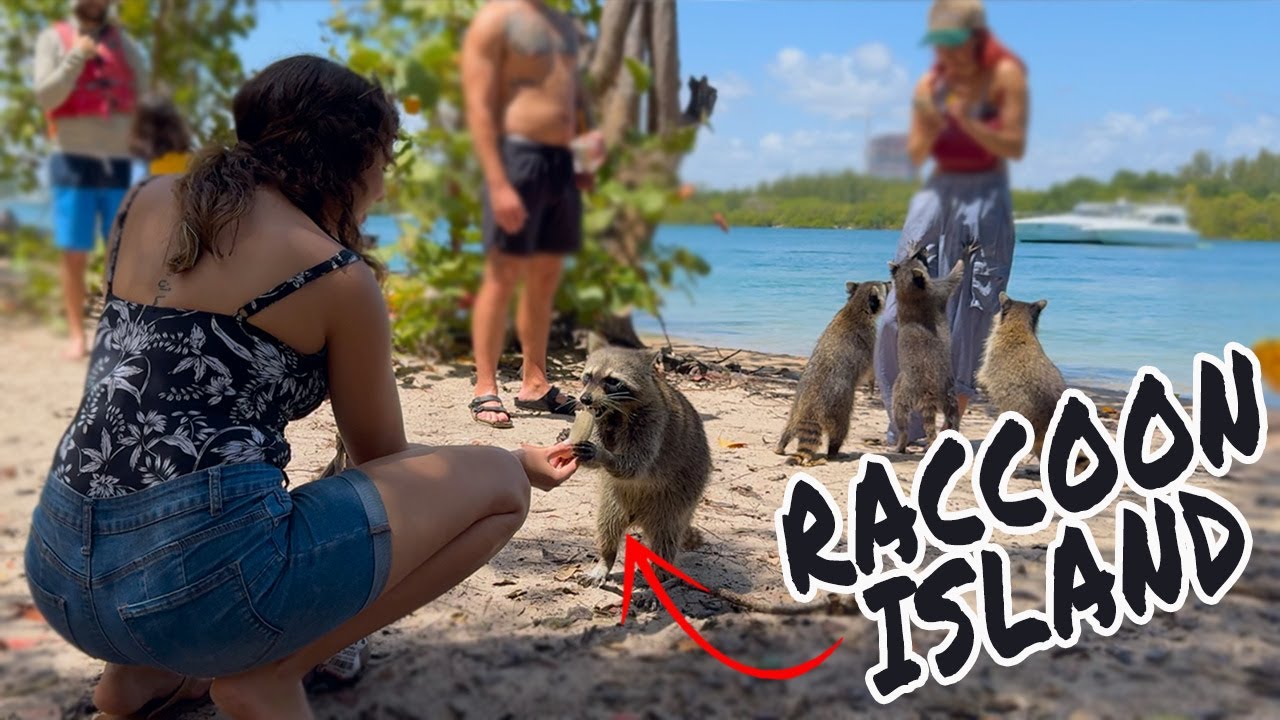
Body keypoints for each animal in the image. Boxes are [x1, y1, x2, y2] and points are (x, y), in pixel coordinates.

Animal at [571, 345, 712, 589]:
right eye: (588, 376)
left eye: (612, 381)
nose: (585, 399)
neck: (618, 410)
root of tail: (639, 517)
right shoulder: (601, 419)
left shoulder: (653, 421)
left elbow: (635, 465)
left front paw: (604, 455)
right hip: (613, 500)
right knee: (608, 525)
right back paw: (606, 559)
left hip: (679, 497)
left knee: (666, 538)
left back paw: (660, 576)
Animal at [775, 280, 889, 466]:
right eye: (886, 285)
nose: (891, 281)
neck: (855, 306)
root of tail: (811, 409)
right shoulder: (870, 338)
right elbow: (870, 368)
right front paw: (872, 383)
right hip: (839, 407)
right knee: (840, 431)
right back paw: (834, 451)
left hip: (796, 407)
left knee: (790, 426)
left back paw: (782, 443)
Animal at [888, 244, 968, 454]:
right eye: (919, 257)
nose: (923, 249)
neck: (908, 289)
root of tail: (927, 390)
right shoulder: (937, 292)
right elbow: (954, 278)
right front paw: (964, 257)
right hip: (909, 389)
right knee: (900, 413)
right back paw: (902, 439)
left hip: (944, 390)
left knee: (950, 413)